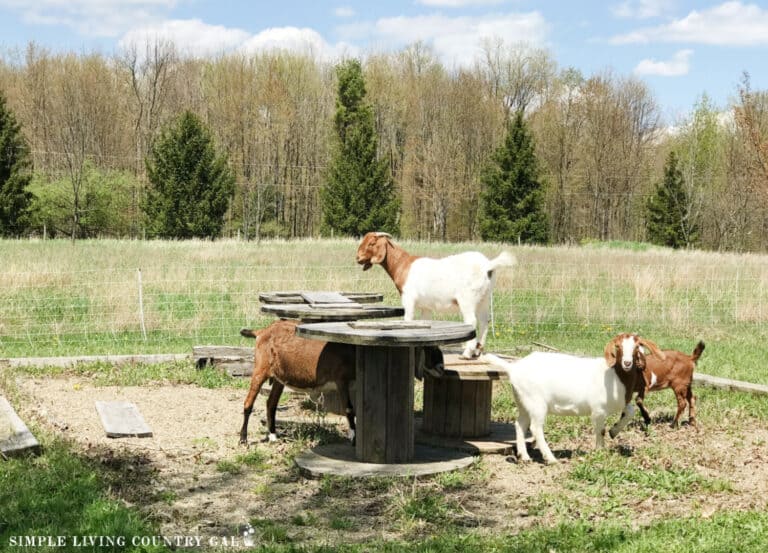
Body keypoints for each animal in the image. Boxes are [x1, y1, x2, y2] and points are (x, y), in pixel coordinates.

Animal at [355, 231, 515, 359]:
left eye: (371, 243)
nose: (357, 258)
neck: (402, 265)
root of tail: (488, 265)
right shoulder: (426, 306)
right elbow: (425, 322)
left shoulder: (408, 298)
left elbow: (408, 319)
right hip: (484, 298)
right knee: (483, 321)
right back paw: (478, 351)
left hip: (467, 298)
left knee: (472, 321)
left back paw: (467, 353)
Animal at [483, 333, 664, 464]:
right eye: (618, 346)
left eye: (637, 347)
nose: (627, 363)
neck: (615, 376)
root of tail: (514, 368)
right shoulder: (598, 410)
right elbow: (600, 430)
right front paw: (600, 451)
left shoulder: (620, 402)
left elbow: (630, 410)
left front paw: (614, 431)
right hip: (536, 402)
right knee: (535, 428)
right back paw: (550, 459)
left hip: (523, 401)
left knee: (520, 424)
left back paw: (525, 457)